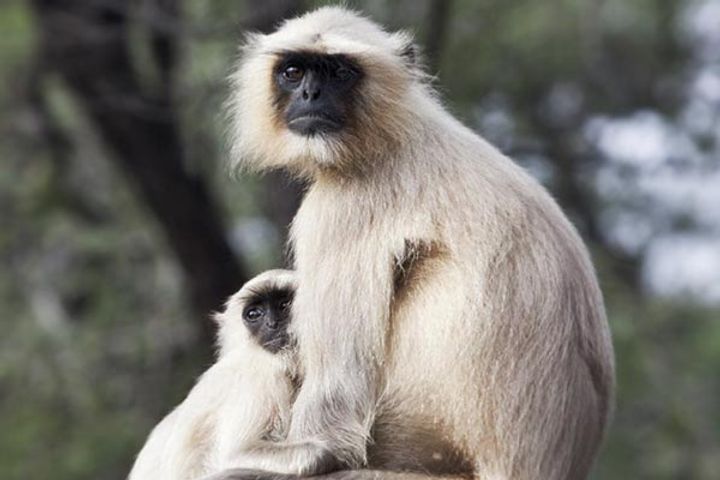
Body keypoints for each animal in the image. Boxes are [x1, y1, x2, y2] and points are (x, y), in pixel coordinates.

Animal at [217, 6, 615, 480]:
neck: (396, 134)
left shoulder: (341, 210)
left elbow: (330, 433)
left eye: (339, 72)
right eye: (293, 73)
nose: (311, 94)